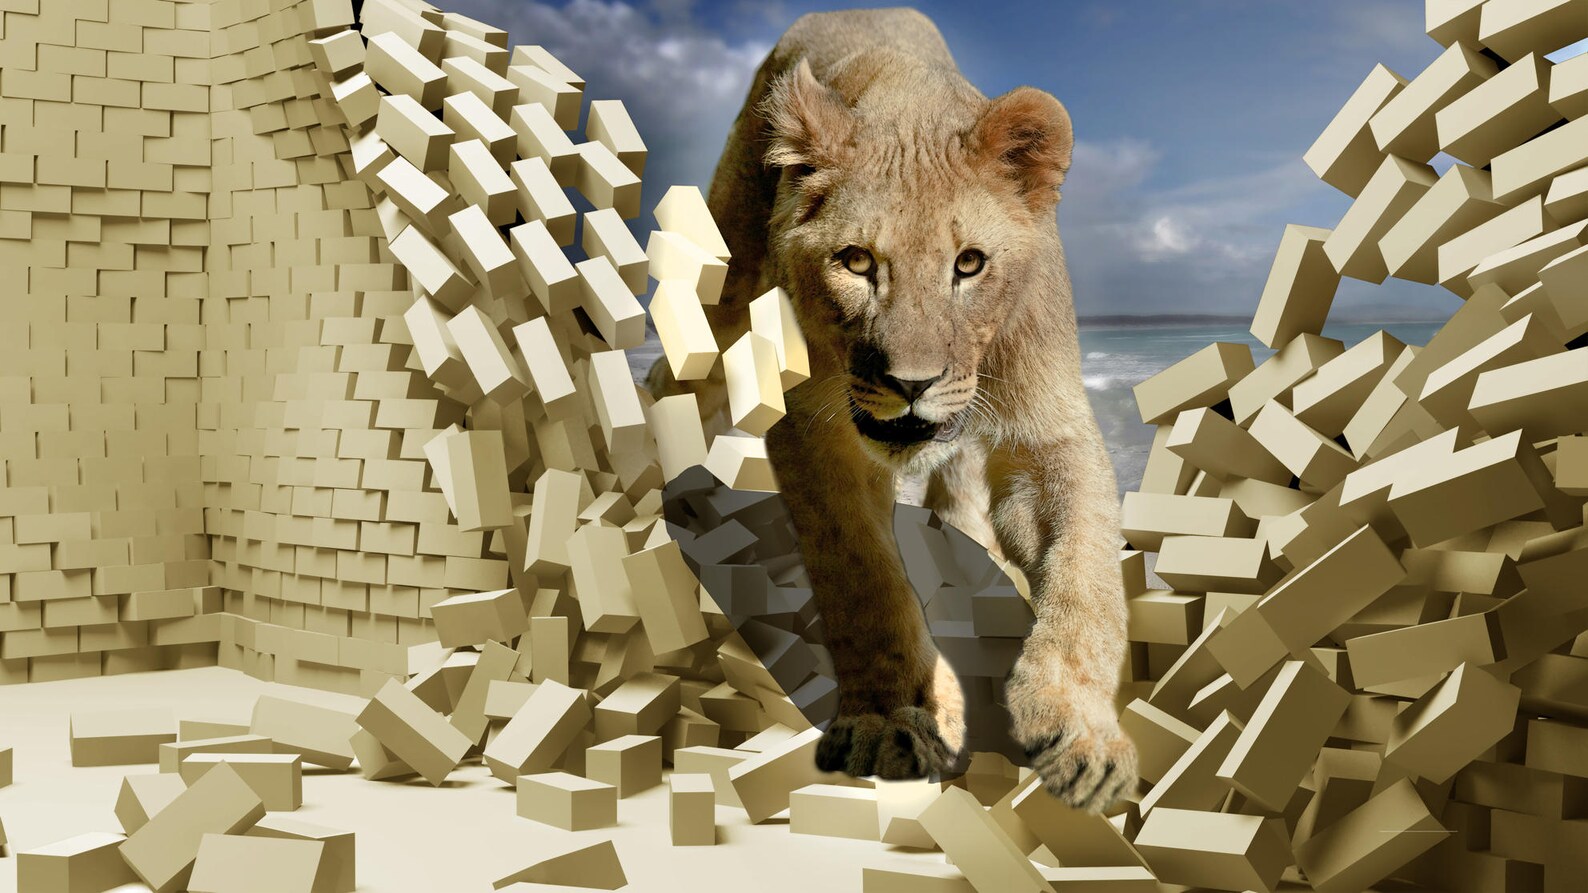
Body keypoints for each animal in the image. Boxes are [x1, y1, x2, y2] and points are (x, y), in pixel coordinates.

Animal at [648, 7, 1135, 813]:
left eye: (968, 264)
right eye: (856, 262)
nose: (913, 382)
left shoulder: (1051, 426)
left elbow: (1085, 576)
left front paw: (1082, 733)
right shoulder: (812, 428)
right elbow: (862, 576)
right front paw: (890, 719)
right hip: (729, 270)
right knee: (679, 373)